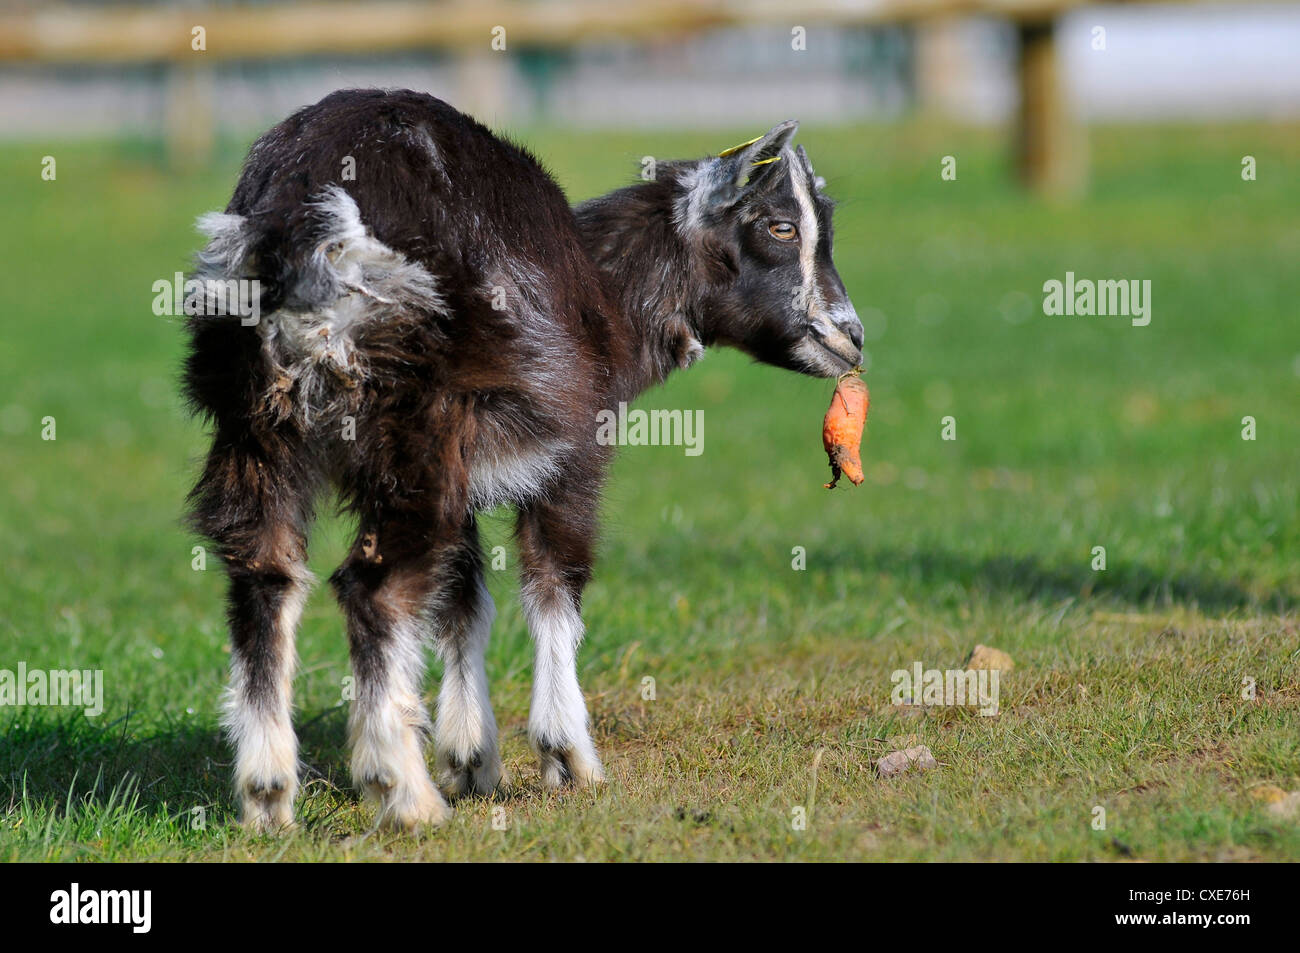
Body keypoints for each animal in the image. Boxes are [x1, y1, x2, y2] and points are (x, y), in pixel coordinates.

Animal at [183, 88, 863, 832]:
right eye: (780, 227)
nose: (851, 336)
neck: (610, 294)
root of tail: (302, 219)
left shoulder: (466, 474)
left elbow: (464, 601)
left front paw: (471, 757)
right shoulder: (572, 452)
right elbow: (554, 583)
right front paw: (569, 758)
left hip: (257, 429)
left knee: (265, 575)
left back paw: (268, 794)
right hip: (410, 427)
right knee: (374, 588)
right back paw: (403, 792)